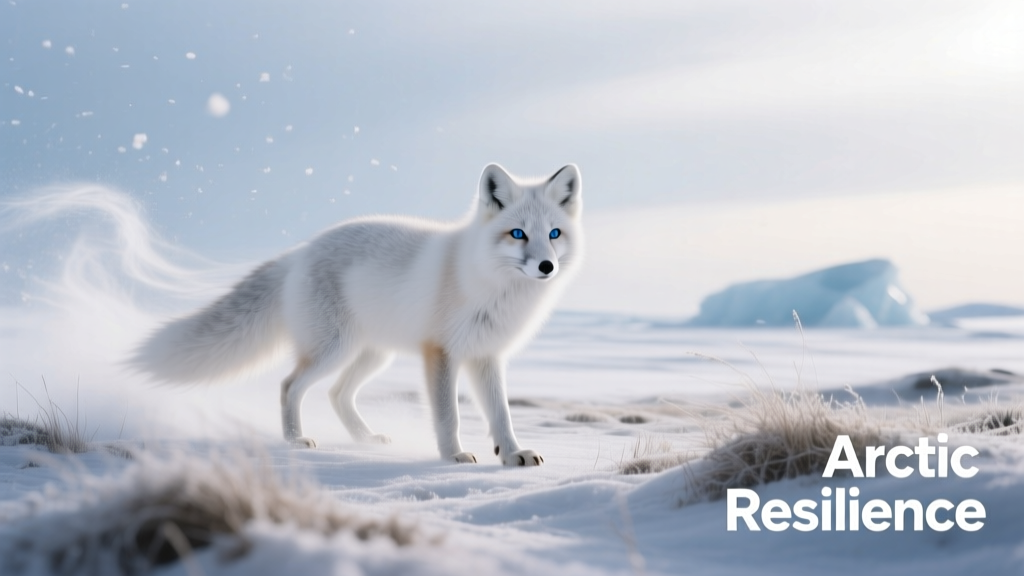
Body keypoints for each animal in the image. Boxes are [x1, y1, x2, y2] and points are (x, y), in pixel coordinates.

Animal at [131, 163, 583, 466]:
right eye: (518, 234)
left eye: (554, 234)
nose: (547, 266)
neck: (490, 284)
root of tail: (301, 250)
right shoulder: (441, 352)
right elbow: (448, 416)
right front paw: (452, 456)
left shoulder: (486, 355)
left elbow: (501, 416)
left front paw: (512, 455)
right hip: (334, 349)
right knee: (289, 386)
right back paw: (295, 441)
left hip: (372, 354)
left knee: (337, 394)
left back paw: (364, 439)